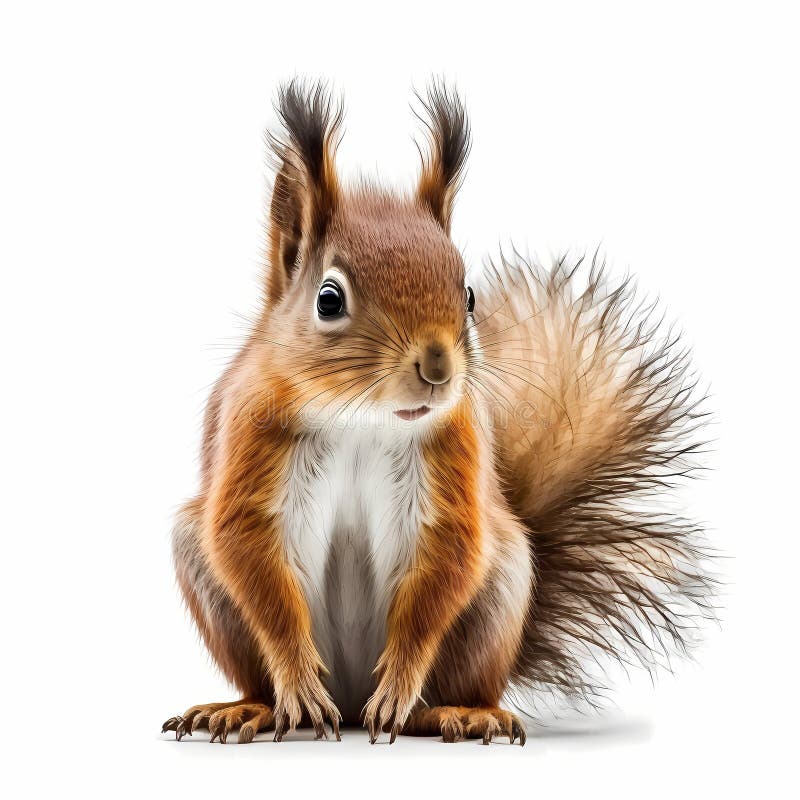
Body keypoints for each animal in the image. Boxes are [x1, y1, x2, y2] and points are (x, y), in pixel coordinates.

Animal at [162, 80, 714, 746]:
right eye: (328, 299)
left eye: (467, 294)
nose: (439, 366)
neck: (362, 420)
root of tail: (351, 705)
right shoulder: (253, 432)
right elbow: (249, 552)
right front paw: (296, 676)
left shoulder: (455, 446)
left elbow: (443, 566)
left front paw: (401, 680)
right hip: (205, 577)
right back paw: (251, 707)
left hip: (498, 592)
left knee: (453, 683)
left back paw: (455, 712)